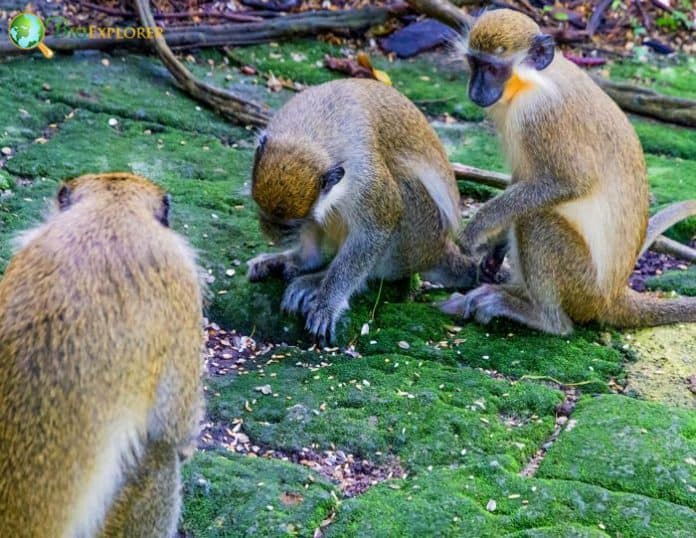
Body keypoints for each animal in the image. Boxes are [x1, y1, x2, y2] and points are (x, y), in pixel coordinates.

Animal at [247, 78, 485, 341]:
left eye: (289, 226)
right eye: (262, 212)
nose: (273, 236)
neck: (311, 133)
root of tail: (438, 248)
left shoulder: (364, 176)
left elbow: (377, 228)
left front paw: (327, 302)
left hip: (416, 240)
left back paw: (319, 281)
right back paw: (306, 260)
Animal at [439, 8, 696, 334]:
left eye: (492, 68)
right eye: (475, 63)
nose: (475, 90)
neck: (533, 81)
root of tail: (612, 295)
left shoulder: (539, 116)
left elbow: (570, 183)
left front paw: (474, 231)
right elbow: (523, 179)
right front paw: (493, 251)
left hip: (582, 285)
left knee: (536, 218)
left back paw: (545, 318)